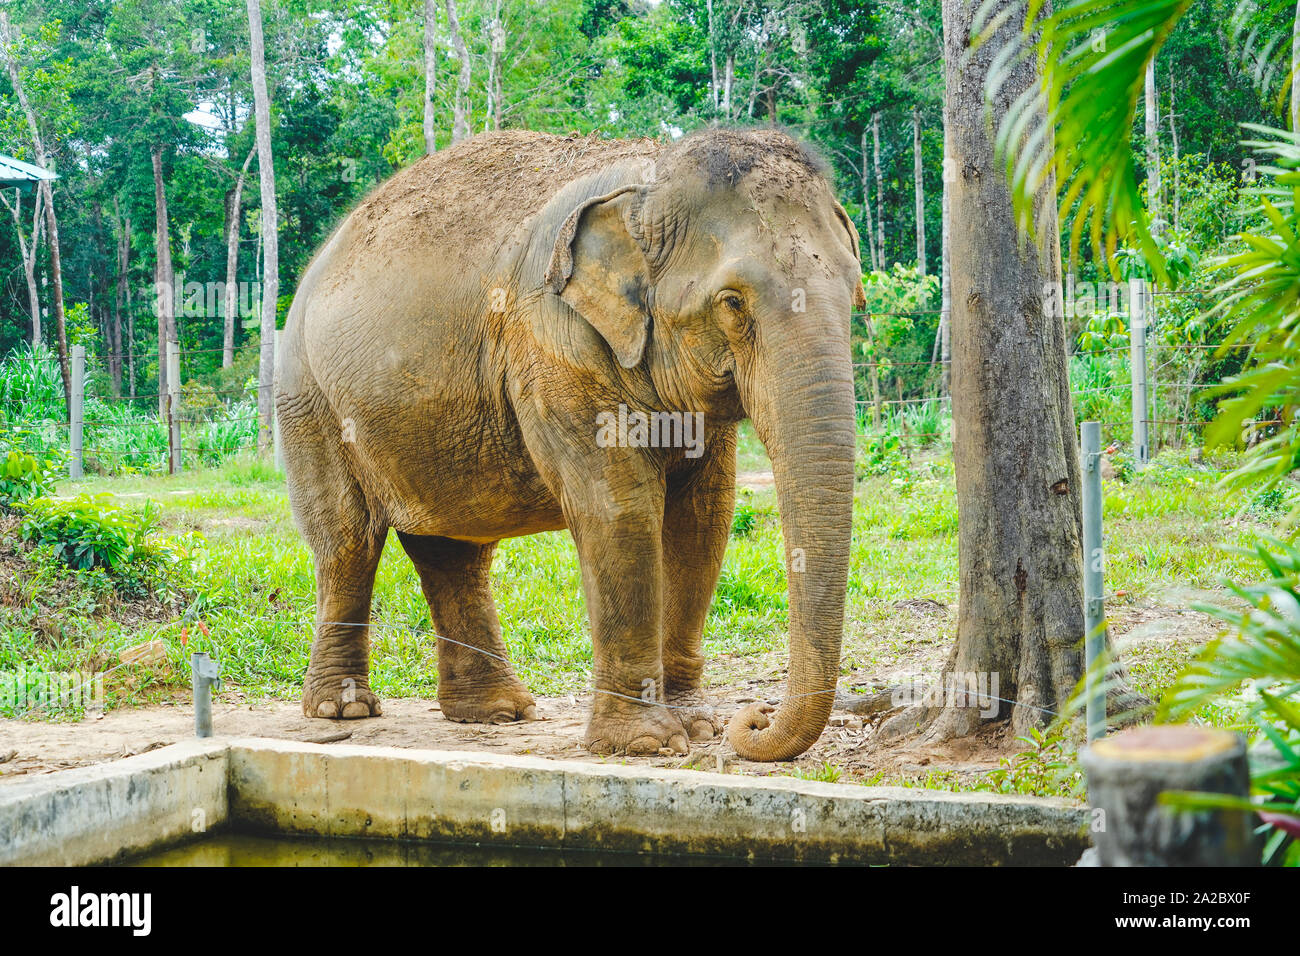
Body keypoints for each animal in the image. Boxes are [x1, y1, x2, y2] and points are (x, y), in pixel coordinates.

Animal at [277, 127, 865, 761]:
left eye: (855, 293)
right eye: (733, 301)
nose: (754, 718)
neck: (650, 175)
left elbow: (703, 518)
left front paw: (698, 727)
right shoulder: (554, 343)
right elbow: (619, 507)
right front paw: (648, 743)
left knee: (451, 548)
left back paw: (497, 713)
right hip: (307, 397)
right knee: (348, 542)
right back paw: (343, 710)